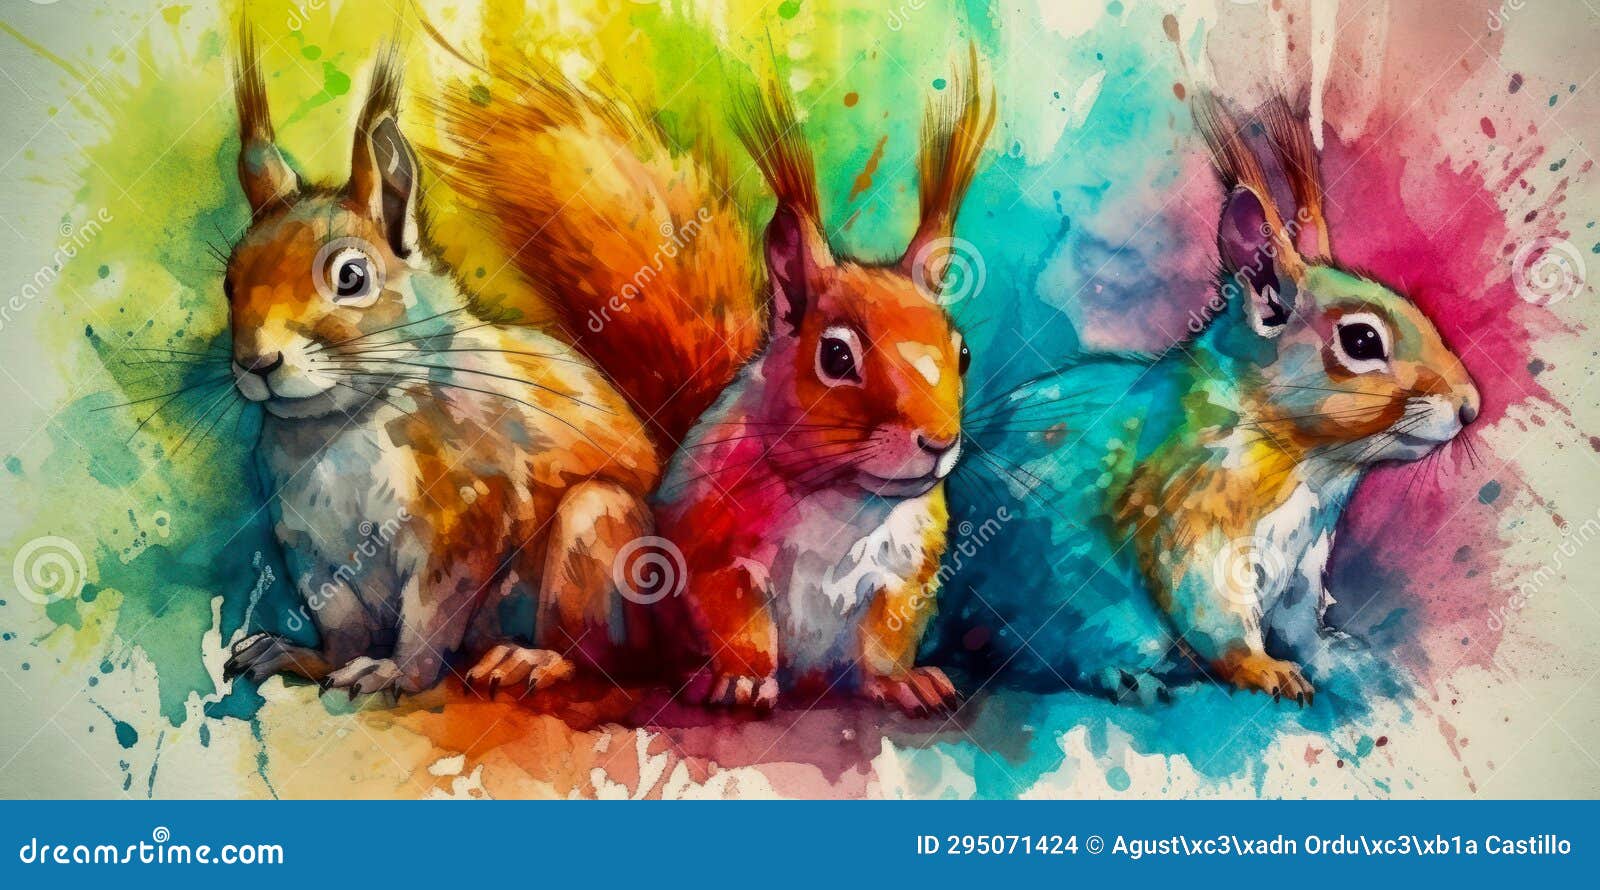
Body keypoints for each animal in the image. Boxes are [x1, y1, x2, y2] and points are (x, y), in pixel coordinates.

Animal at [218, 31, 660, 699]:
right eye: (228, 282)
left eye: (352, 276)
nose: (257, 361)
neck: (340, 426)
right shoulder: (310, 547)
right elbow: (340, 625)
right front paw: (305, 656)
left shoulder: (468, 516)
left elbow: (431, 615)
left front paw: (392, 671)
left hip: (600, 531)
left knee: (602, 657)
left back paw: (533, 660)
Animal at [433, 43, 995, 715]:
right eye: (836, 357)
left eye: (964, 354)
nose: (939, 442)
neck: (844, 499)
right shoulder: (712, 551)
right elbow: (736, 615)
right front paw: (744, 678)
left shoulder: (905, 572)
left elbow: (887, 637)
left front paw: (904, 682)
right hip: (602, 543)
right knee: (607, 656)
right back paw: (542, 659)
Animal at [931, 91, 1480, 706]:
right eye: (1361, 341)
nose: (1470, 408)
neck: (1309, 461)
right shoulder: (1192, 516)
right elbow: (1215, 614)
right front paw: (1267, 670)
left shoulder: (1307, 561)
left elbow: (1300, 624)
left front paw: (1330, 654)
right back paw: (1123, 677)